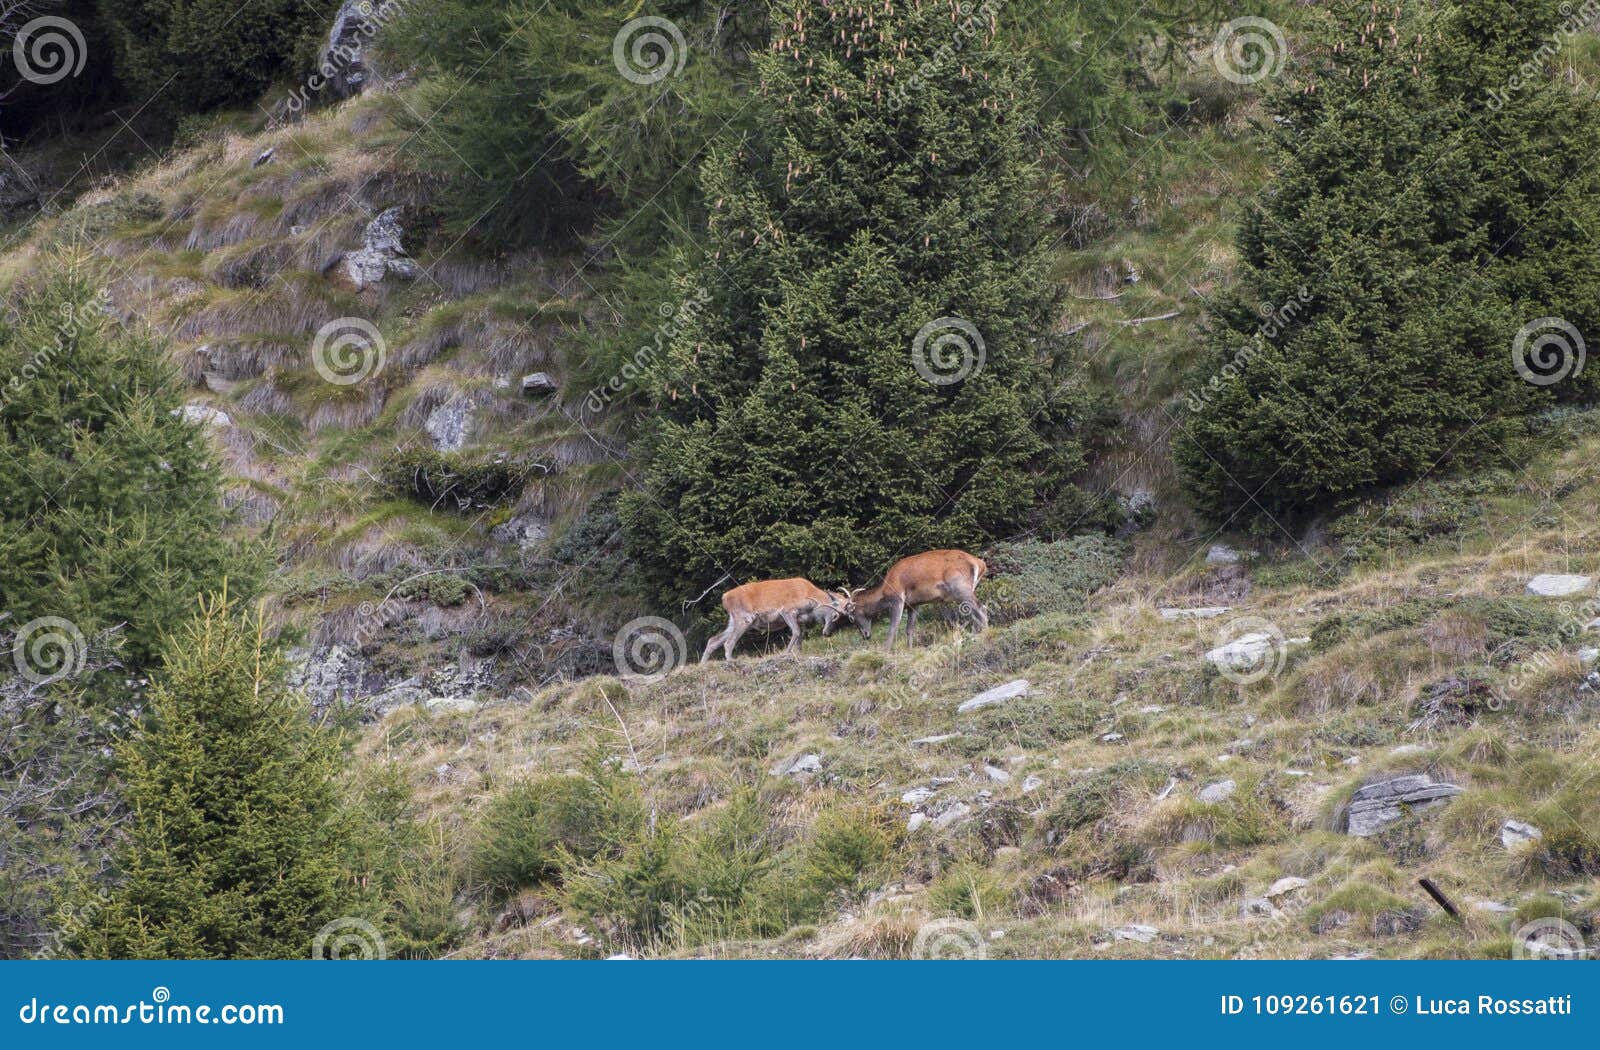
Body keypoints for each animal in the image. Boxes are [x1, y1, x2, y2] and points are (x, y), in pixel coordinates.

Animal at [700, 578, 849, 663]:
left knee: (713, 640)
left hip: (734, 621)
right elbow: (796, 632)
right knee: (728, 642)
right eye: (835, 616)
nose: (827, 633)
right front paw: (786, 653)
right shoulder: (787, 610)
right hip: (745, 619)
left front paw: (799, 654)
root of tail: (725, 598)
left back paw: (703, 665)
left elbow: (799, 637)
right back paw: (731, 660)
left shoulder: (800, 619)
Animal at [825, 549, 988, 651]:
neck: (885, 589)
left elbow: (893, 627)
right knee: (975, 613)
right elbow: (909, 629)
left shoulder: (898, 598)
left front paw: (885, 650)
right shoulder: (915, 603)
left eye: (851, 618)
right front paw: (910, 649)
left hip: (960, 587)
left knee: (981, 609)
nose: (865, 635)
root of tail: (980, 563)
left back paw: (986, 634)